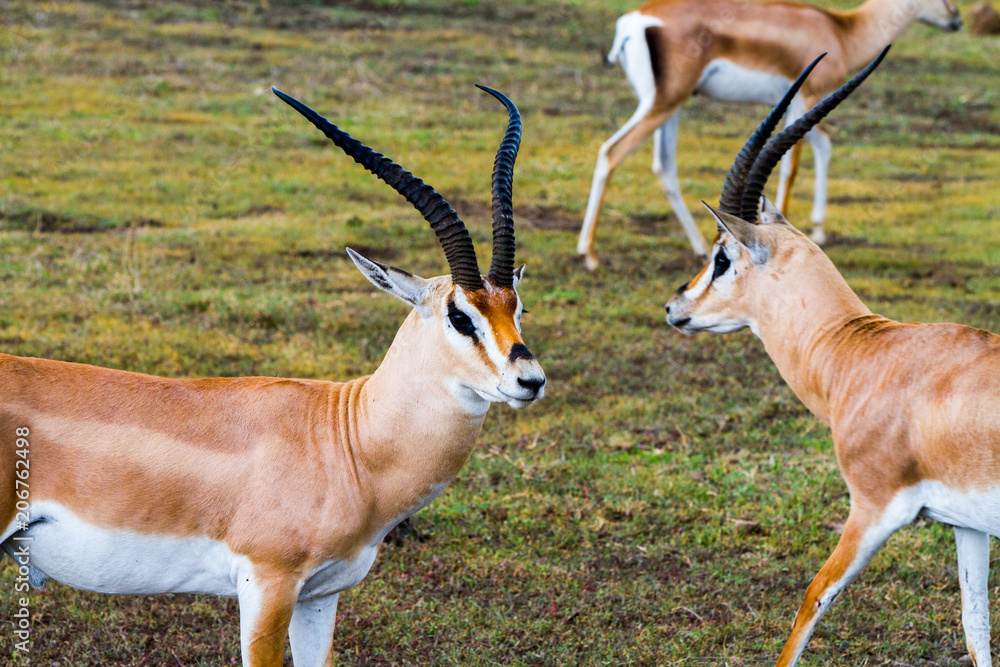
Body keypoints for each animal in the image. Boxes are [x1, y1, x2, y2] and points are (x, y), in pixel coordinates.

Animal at [0, 85, 546, 666]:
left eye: (517, 308)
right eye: (459, 315)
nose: (530, 380)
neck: (346, 440)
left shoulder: (320, 593)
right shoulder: (268, 581)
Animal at [578, 0, 962, 270]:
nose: (956, 18)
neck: (841, 31)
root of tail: (634, 21)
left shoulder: (804, 106)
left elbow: (824, 147)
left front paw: (819, 228)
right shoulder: (803, 99)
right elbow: (793, 167)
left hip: (672, 106)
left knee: (663, 166)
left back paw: (698, 246)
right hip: (662, 103)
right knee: (612, 151)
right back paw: (590, 254)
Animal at [667, 46, 999, 666]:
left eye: (722, 257)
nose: (675, 307)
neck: (861, 354)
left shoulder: (872, 509)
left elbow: (812, 599)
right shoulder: (966, 522)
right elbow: (975, 625)